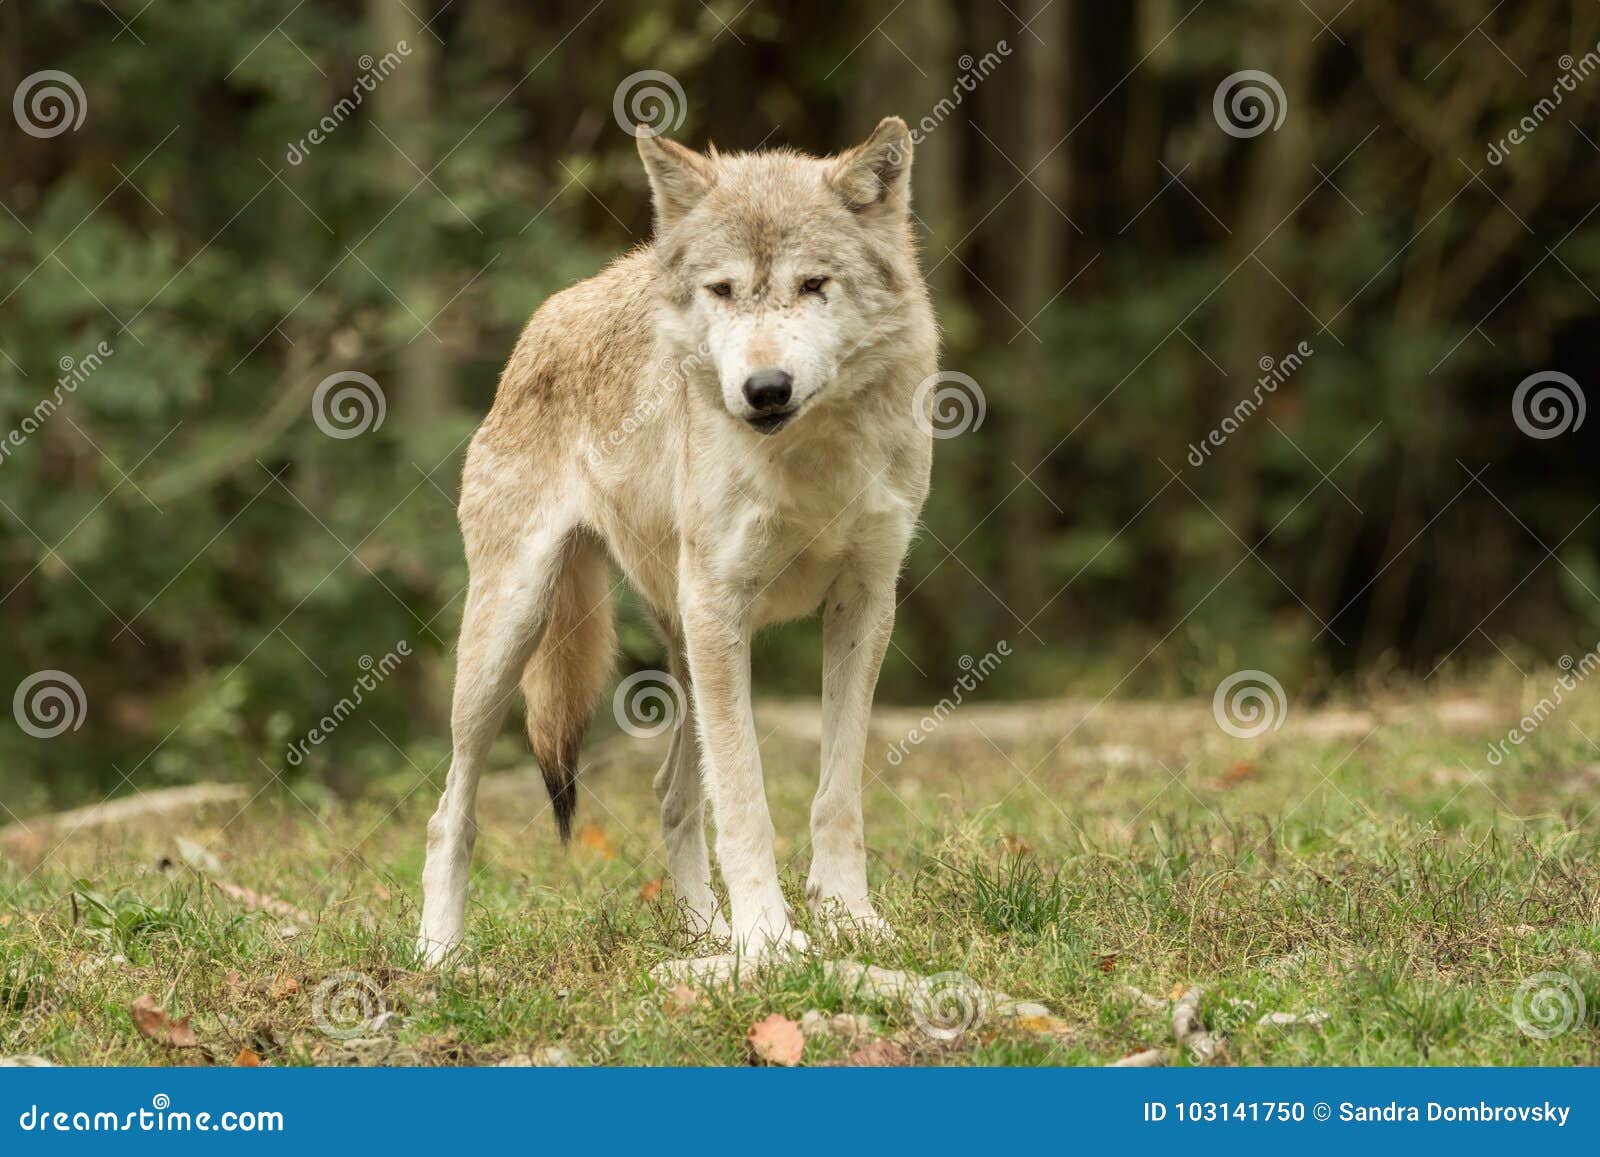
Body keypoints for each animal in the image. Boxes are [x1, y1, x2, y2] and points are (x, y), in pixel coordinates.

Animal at [417, 117, 937, 965]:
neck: (809, 461)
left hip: (683, 649)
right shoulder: (722, 606)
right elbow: (748, 800)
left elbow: (836, 796)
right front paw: (770, 941)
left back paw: (704, 933)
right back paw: (440, 956)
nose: (765, 389)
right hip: (512, 636)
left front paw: (848, 920)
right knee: (448, 813)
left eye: (813, 285)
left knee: (671, 794)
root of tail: (548, 314)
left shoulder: (865, 603)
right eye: (722, 291)